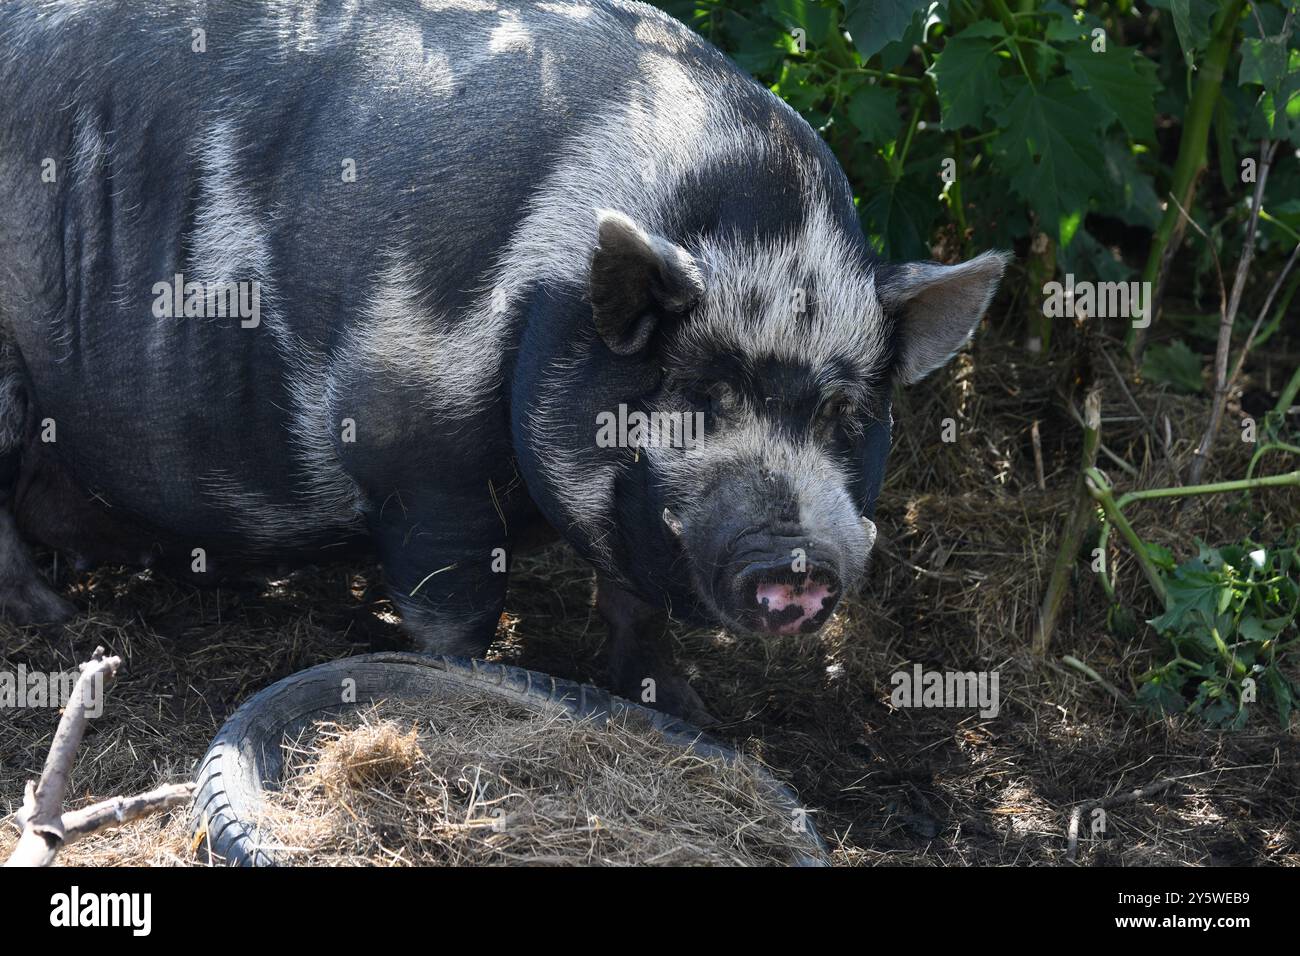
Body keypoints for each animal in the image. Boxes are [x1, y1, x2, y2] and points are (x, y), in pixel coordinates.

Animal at [0, 0, 1005, 722]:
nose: (795, 563)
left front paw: (687, 710)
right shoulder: (415, 452)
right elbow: (457, 609)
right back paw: (56, 619)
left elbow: (634, 606)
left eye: (845, 414)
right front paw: (466, 691)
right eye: (699, 396)